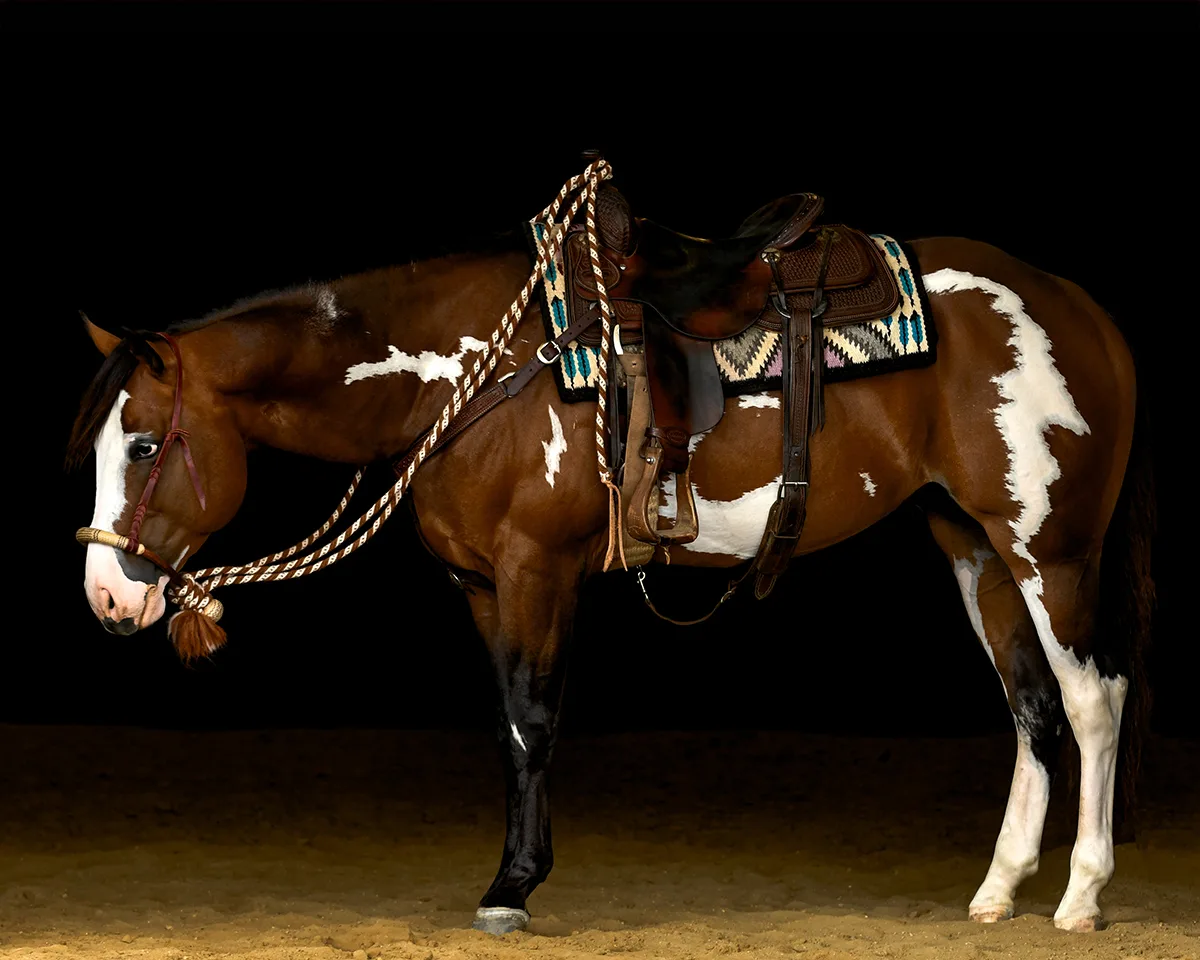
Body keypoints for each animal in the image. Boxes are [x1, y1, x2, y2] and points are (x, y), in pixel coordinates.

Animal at [66, 170, 1153, 938]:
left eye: (145, 445)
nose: (110, 599)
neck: (477, 365)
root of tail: (1078, 306)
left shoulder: (535, 566)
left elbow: (534, 720)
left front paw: (511, 888)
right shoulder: (480, 584)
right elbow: (507, 721)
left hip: (1047, 545)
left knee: (1093, 698)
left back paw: (1081, 898)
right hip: (973, 544)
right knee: (1029, 705)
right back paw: (998, 891)